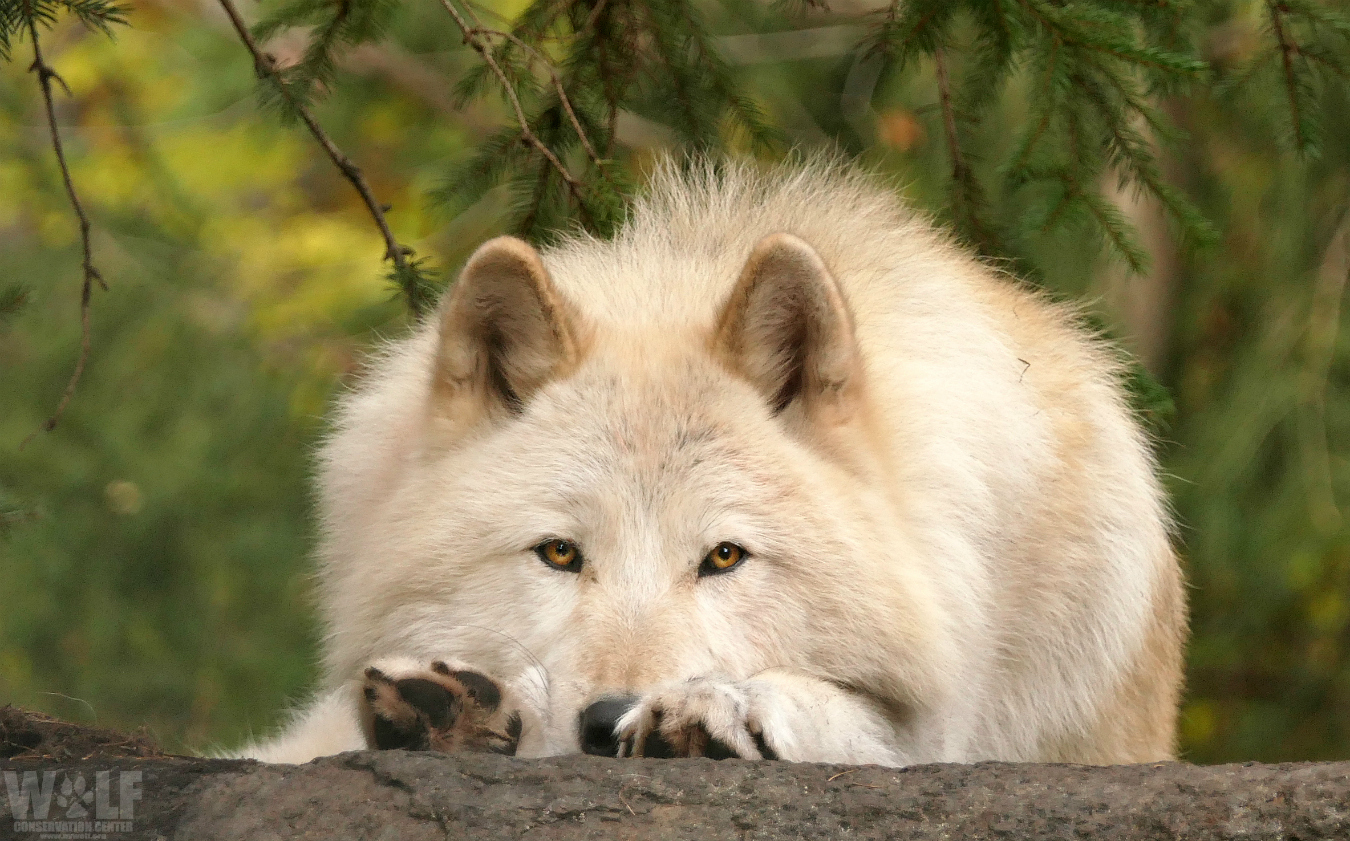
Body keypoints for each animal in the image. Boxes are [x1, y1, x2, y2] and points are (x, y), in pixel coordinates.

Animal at [239, 157, 1186, 766]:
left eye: (725, 556)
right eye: (559, 552)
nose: (605, 722)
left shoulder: (959, 714)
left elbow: (864, 724)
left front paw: (725, 711)